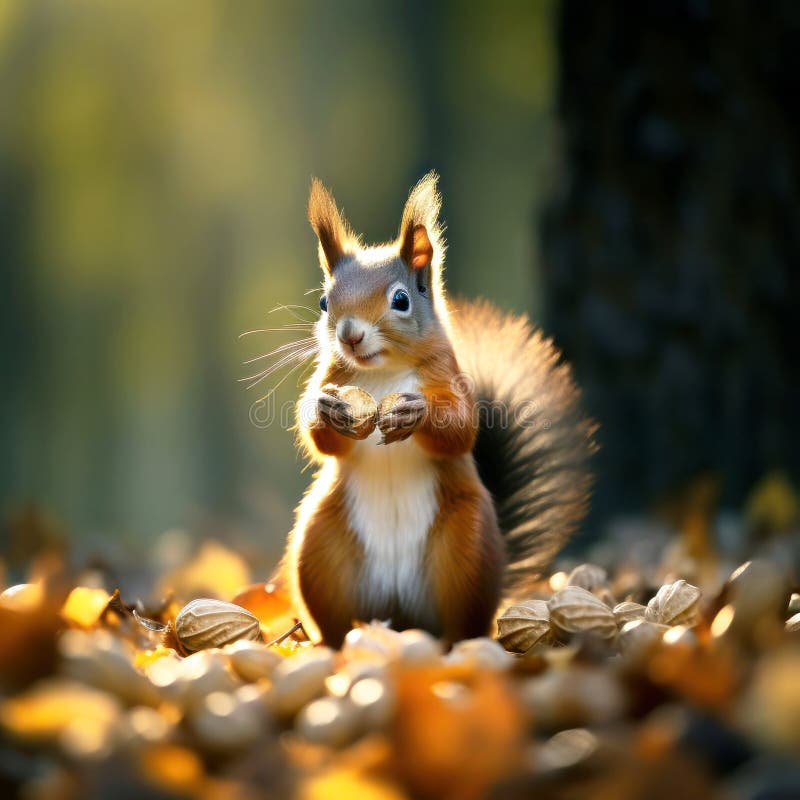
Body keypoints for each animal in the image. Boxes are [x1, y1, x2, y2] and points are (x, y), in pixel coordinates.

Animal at [279, 172, 595, 648]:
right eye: (323, 302)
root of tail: (400, 614)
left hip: (465, 549)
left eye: (401, 300)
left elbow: (462, 429)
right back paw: (329, 643)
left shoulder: (450, 378)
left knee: (464, 622)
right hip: (321, 547)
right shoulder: (331, 375)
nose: (350, 335)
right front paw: (326, 408)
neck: (384, 372)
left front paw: (417, 414)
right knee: (335, 617)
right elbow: (321, 441)